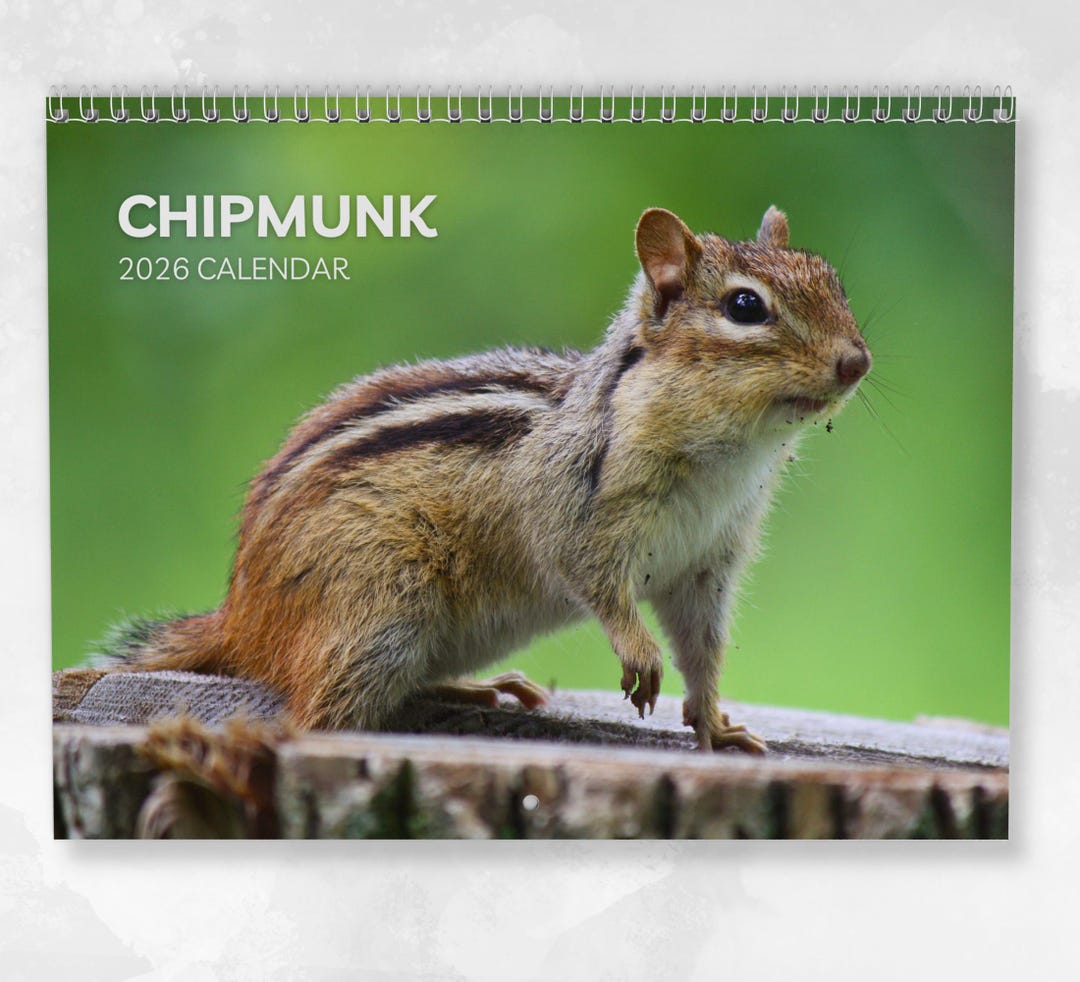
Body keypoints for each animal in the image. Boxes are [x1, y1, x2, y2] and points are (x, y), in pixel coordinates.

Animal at [102, 206, 870, 754]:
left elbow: (703, 649)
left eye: (833, 283)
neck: (730, 457)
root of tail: (242, 615)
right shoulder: (573, 507)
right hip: (378, 611)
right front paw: (640, 653)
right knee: (313, 716)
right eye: (746, 307)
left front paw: (715, 725)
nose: (857, 362)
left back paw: (475, 690)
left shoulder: (709, 562)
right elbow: (592, 578)